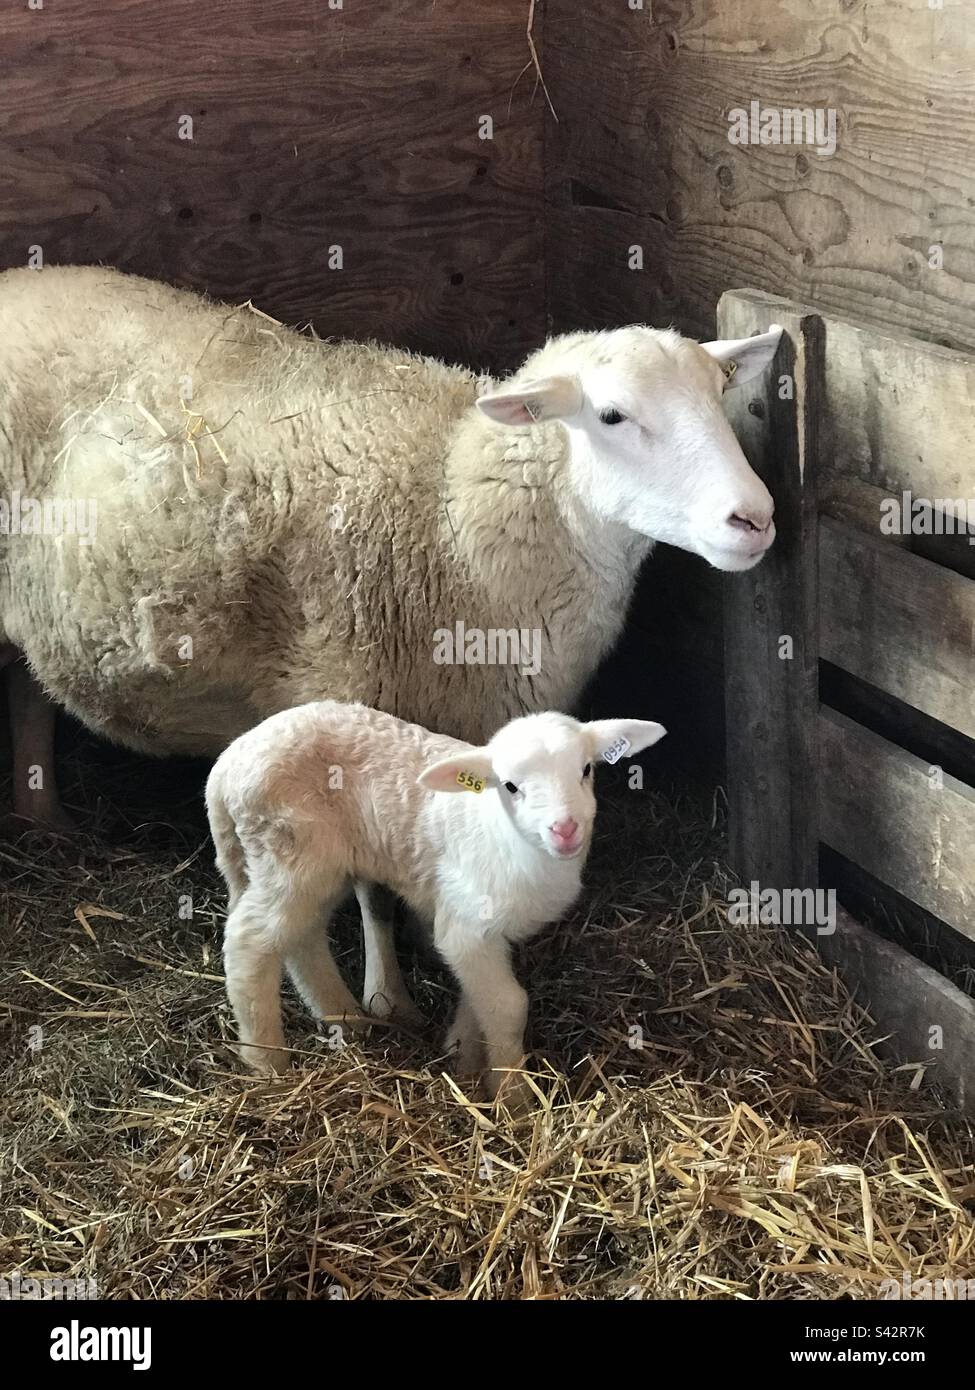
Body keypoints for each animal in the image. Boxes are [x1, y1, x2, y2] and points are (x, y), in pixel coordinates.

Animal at [205, 699, 666, 1105]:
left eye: (586, 769)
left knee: (303, 938)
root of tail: (225, 769)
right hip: (290, 853)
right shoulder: (467, 923)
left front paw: (464, 1057)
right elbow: (509, 1005)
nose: (565, 829)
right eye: (511, 786)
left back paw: (345, 1019)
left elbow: (477, 997)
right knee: (250, 942)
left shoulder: (479, 930)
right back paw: (266, 1062)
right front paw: (512, 1096)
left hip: (306, 864)